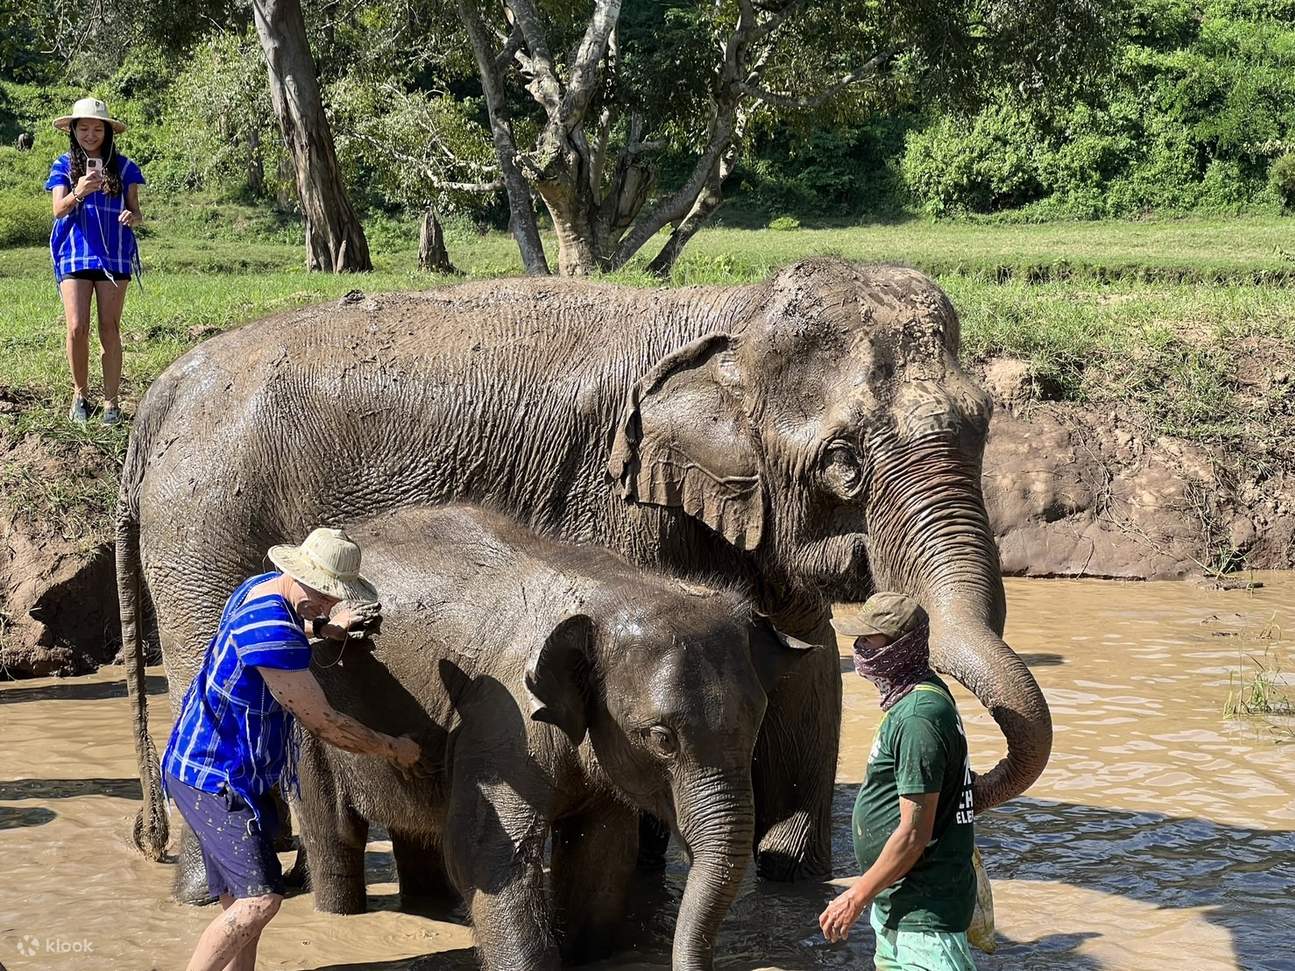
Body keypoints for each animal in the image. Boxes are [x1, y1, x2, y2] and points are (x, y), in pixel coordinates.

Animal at [118, 256, 1051, 894]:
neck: (733, 313)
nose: (967, 784)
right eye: (843, 463)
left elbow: (806, 662)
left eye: (982, 424)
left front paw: (787, 876)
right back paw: (222, 886)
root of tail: (160, 392)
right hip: (203, 528)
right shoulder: (614, 500)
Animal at [293, 503, 810, 970]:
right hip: (306, 715)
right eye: (663, 739)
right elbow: (488, 857)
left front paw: (591, 956)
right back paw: (340, 912)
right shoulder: (502, 718)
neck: (614, 591)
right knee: (334, 832)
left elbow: (599, 854)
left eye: (756, 724)